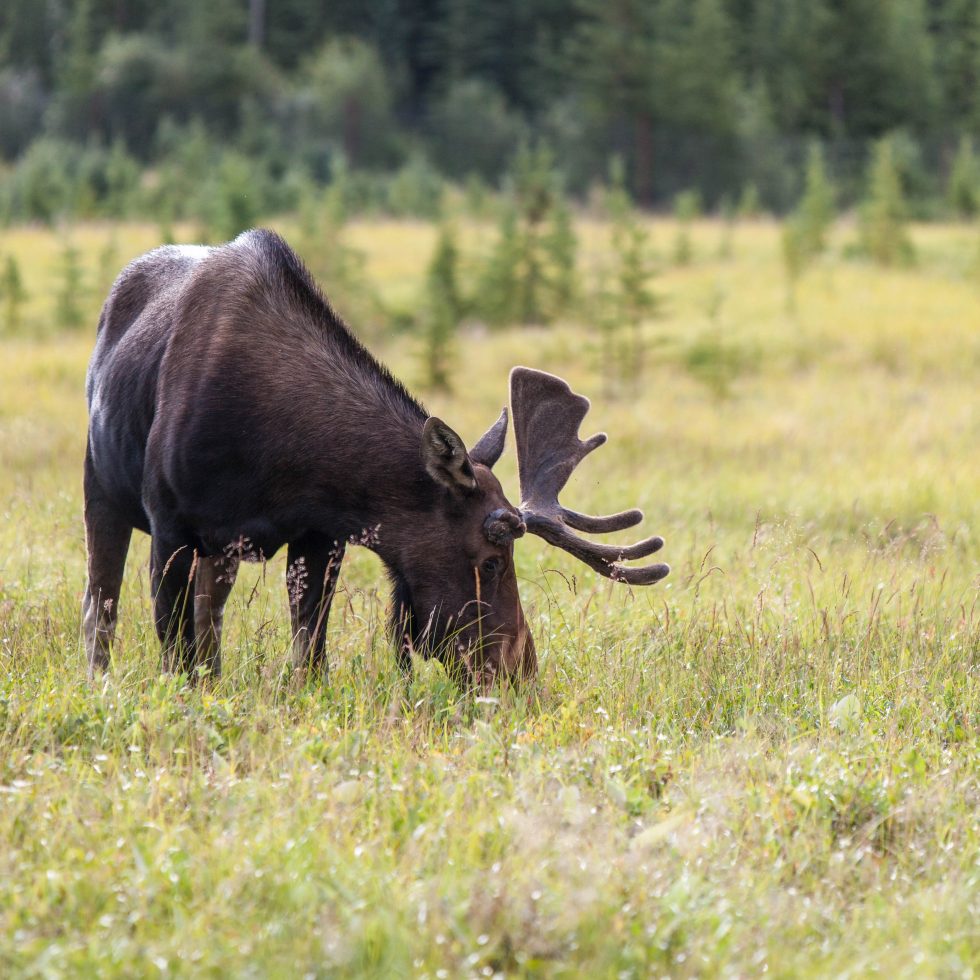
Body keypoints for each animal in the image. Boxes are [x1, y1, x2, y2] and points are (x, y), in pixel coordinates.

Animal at [82, 229, 669, 685]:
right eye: (493, 557)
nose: (521, 670)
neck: (283, 457)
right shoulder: (171, 526)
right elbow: (173, 653)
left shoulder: (319, 533)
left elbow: (308, 655)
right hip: (102, 487)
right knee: (99, 608)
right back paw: (98, 681)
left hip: (221, 549)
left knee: (210, 620)